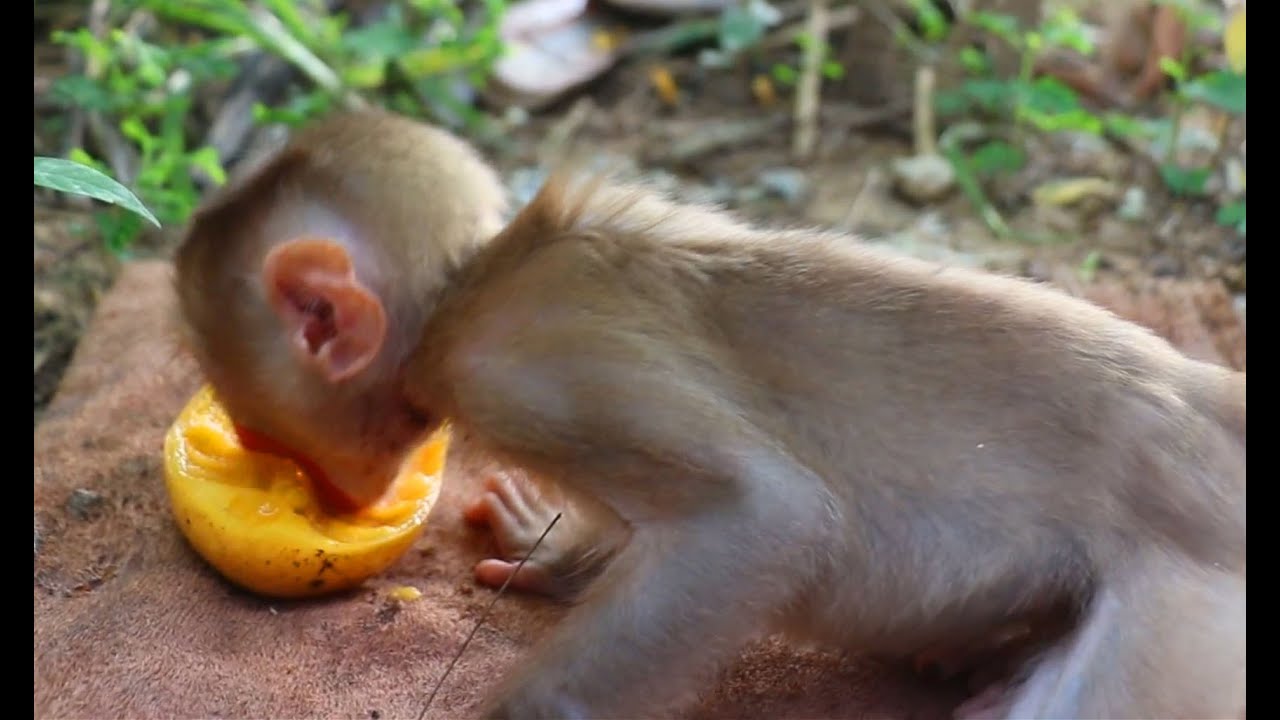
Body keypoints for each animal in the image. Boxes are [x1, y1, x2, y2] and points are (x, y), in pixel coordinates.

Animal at [174, 112, 1245, 719]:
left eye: (257, 421)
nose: (264, 450)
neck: (466, 283)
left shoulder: (519, 362)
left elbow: (765, 512)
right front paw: (550, 547)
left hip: (1185, 621)